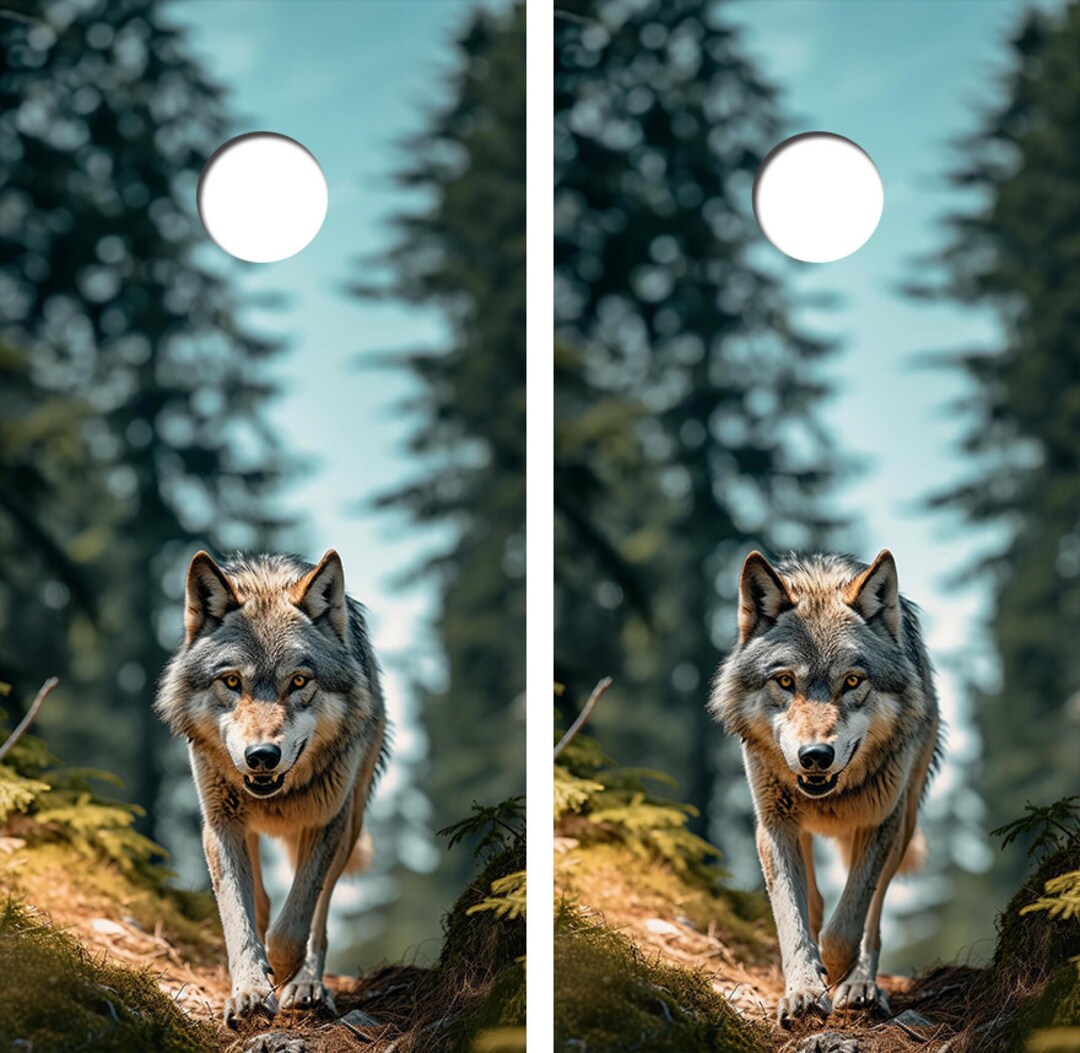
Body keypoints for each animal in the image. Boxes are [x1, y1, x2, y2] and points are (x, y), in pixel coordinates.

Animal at [155, 549, 387, 1027]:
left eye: (298, 681)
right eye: (231, 681)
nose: (262, 755)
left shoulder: (326, 823)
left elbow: (293, 927)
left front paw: (281, 976)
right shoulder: (220, 826)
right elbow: (239, 917)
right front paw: (250, 990)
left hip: (350, 825)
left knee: (319, 917)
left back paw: (308, 985)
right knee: (260, 902)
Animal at [709, 550, 940, 1028]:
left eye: (852, 681)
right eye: (785, 681)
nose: (815, 755)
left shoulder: (880, 823)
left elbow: (847, 927)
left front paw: (835, 976)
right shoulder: (773, 826)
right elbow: (792, 917)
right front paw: (803, 990)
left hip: (904, 824)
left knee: (872, 918)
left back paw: (861, 985)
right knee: (814, 902)